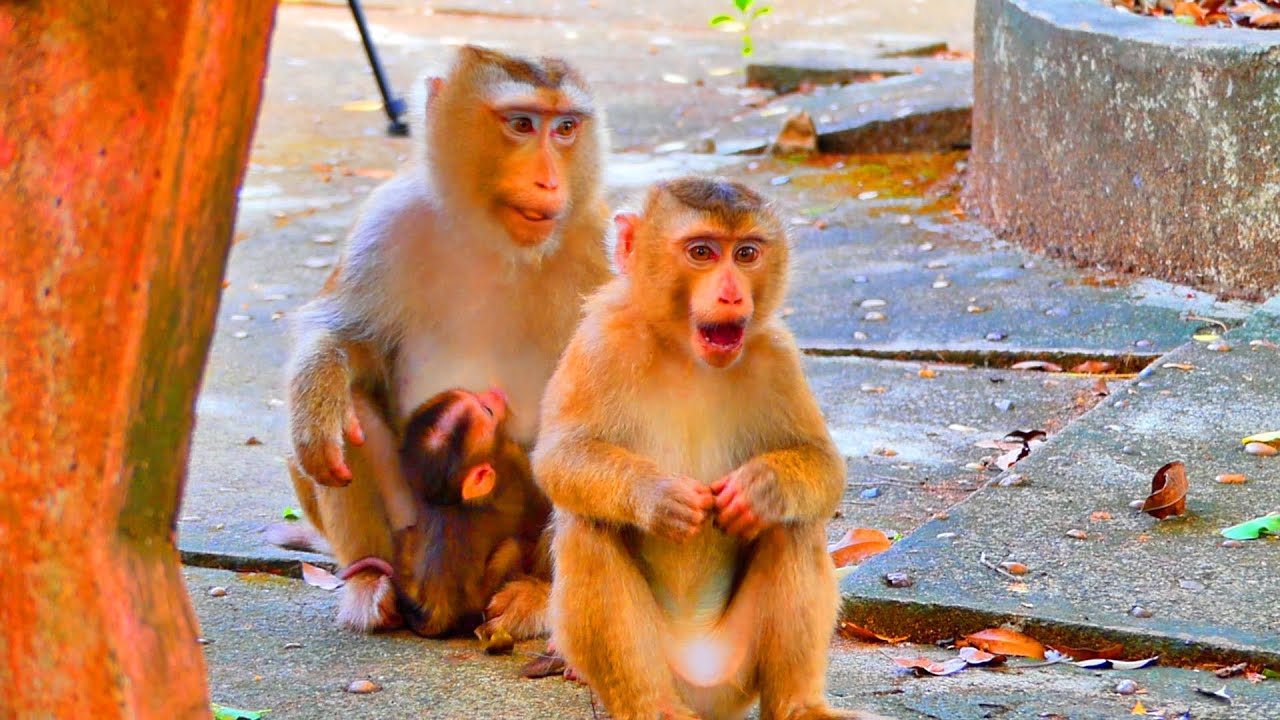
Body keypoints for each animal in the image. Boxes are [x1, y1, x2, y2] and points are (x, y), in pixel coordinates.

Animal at [532, 177, 885, 720]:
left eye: (745, 254)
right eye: (702, 252)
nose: (731, 292)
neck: (684, 352)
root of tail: (699, 682)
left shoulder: (776, 355)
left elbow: (822, 464)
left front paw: (762, 489)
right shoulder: (599, 341)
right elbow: (559, 457)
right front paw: (658, 497)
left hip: (734, 673)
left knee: (796, 527)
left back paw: (797, 706)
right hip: (663, 668)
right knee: (587, 525)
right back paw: (652, 706)